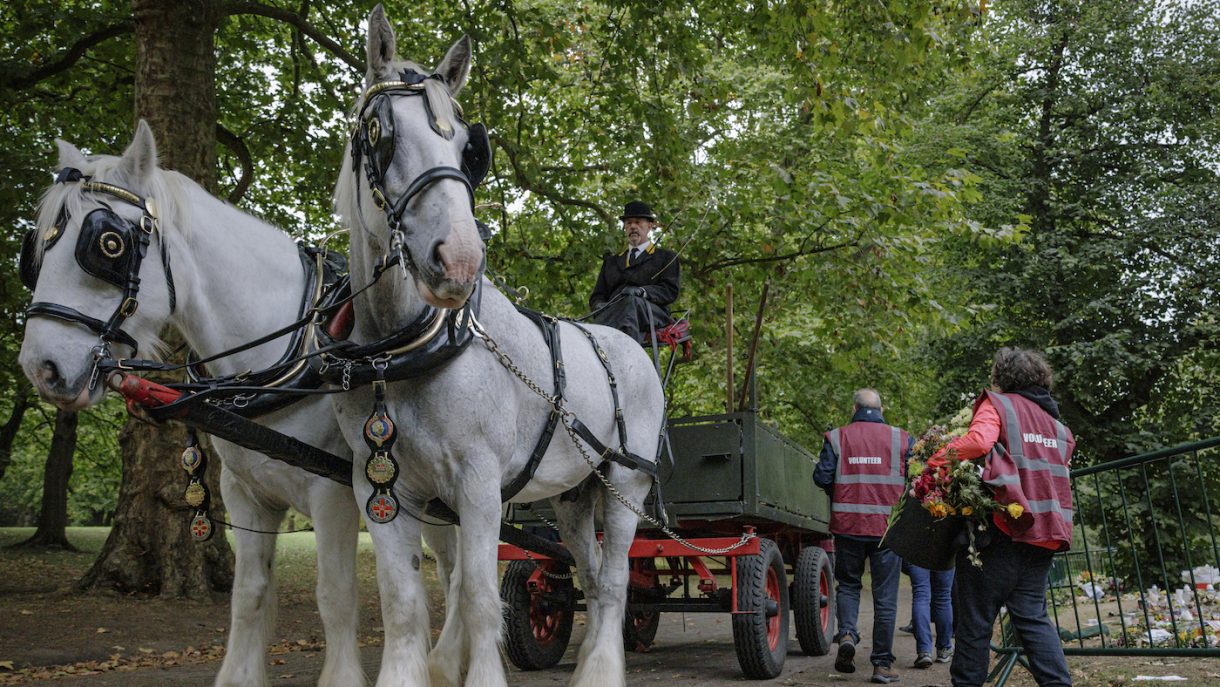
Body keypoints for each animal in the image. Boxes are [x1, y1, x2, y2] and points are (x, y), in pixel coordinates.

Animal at [17, 122, 367, 687]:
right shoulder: (246, 494)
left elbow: (335, 597)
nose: (39, 368)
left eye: (108, 244)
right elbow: (248, 597)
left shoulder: (333, 495)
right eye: (34, 252)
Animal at [327, 7, 665, 686]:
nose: (459, 259)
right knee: (591, 576)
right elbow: (405, 602)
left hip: (625, 482)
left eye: (467, 146)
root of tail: (632, 344)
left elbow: (480, 595)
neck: (404, 354)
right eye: (379, 132)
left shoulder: (479, 484)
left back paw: (602, 667)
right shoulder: (385, 489)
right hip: (572, 496)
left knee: (617, 578)